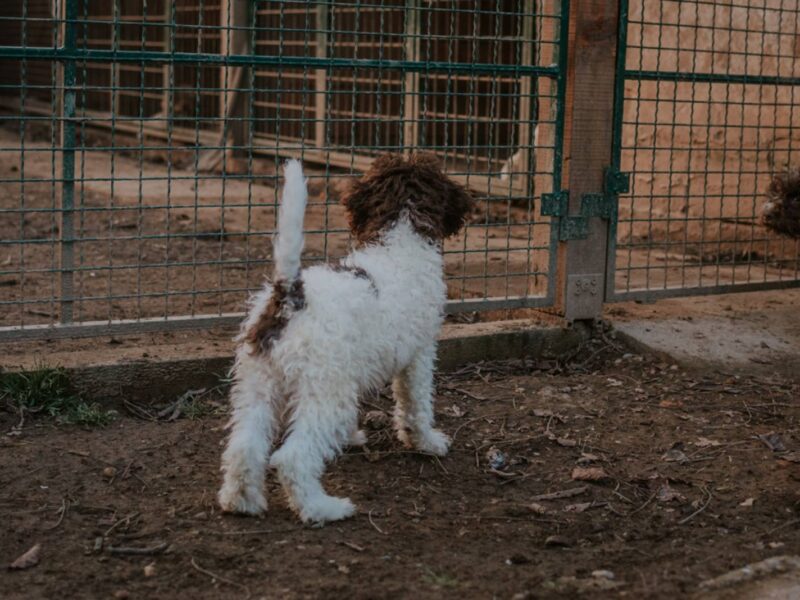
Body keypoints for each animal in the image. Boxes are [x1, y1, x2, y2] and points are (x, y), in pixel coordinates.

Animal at [217, 155, 476, 524]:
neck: (399, 241)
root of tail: (291, 296)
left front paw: (352, 437)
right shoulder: (420, 355)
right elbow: (416, 405)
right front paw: (427, 442)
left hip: (259, 383)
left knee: (243, 447)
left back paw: (241, 502)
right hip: (325, 390)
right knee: (292, 458)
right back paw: (322, 508)